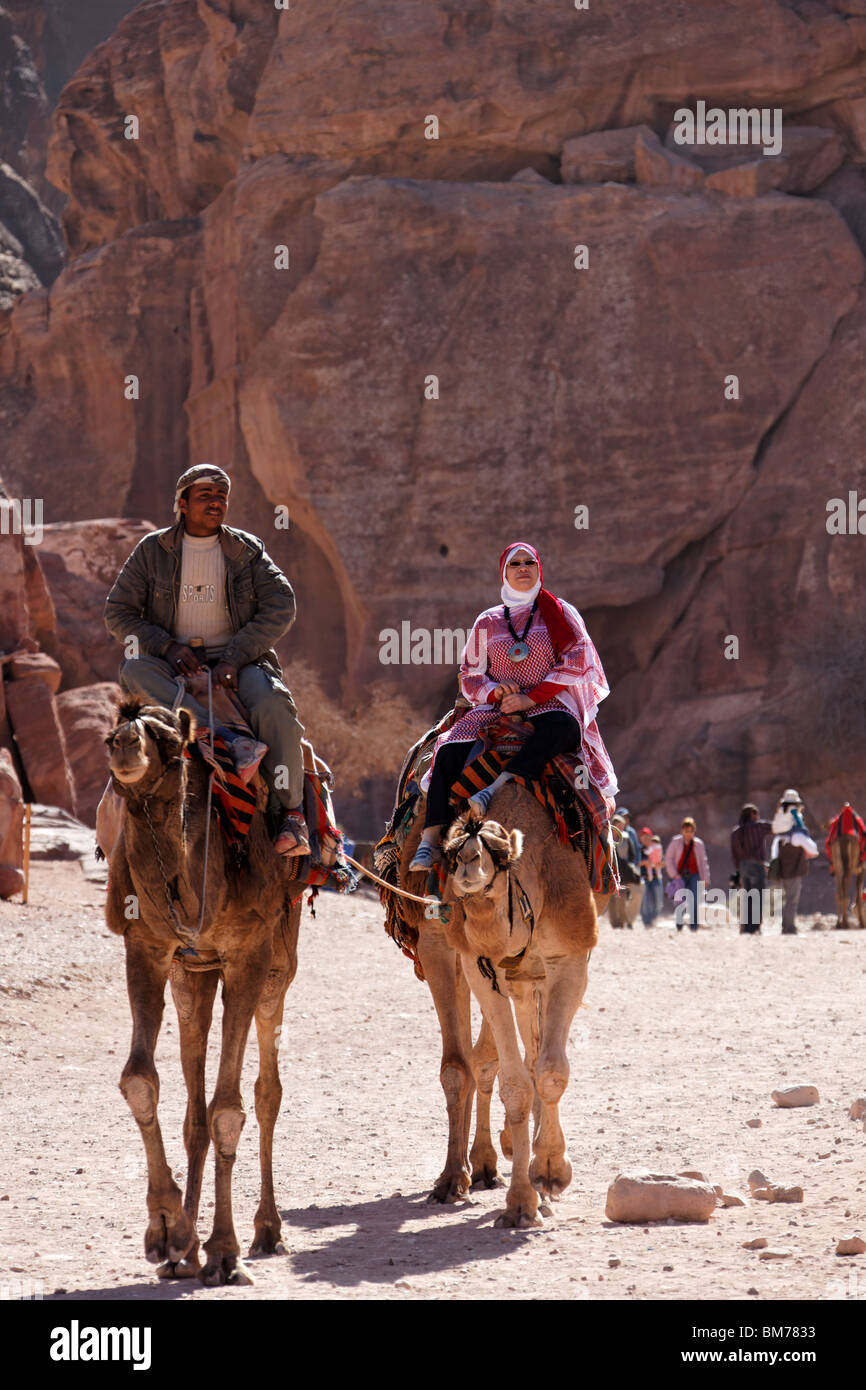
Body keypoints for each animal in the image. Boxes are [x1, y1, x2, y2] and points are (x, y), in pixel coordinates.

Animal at [103, 698, 300, 1286]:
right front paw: (168, 1230)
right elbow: (140, 1081)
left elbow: (229, 1108)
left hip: (277, 963)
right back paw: (184, 1255)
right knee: (194, 1103)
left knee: (266, 1090)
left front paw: (225, 1250)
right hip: (193, 975)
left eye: (171, 743)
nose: (124, 744)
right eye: (109, 737)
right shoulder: (148, 946)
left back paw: (265, 1231)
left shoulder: (249, 953)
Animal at [440, 782, 598, 1228]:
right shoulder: (481, 965)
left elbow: (551, 1070)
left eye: (500, 856)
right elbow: (514, 1081)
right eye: (452, 853)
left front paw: (550, 1171)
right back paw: (472, 1169)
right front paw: (522, 1201)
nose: (468, 866)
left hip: (531, 977)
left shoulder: (569, 959)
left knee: (529, 1052)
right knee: (484, 1060)